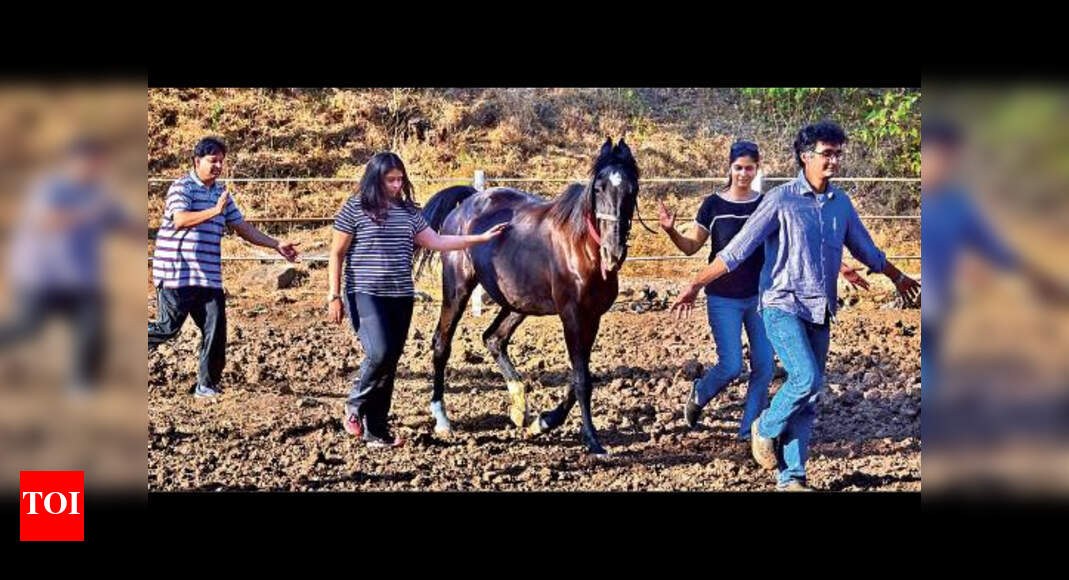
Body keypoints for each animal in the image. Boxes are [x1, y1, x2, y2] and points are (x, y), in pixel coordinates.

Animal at [415, 137, 641, 456]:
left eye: (632, 189)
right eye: (599, 187)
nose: (614, 253)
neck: (583, 248)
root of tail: (470, 201)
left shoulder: (592, 316)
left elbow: (577, 375)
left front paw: (543, 422)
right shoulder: (572, 315)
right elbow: (582, 379)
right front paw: (592, 440)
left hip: (517, 303)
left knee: (493, 338)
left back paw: (520, 410)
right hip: (457, 289)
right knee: (441, 343)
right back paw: (442, 418)